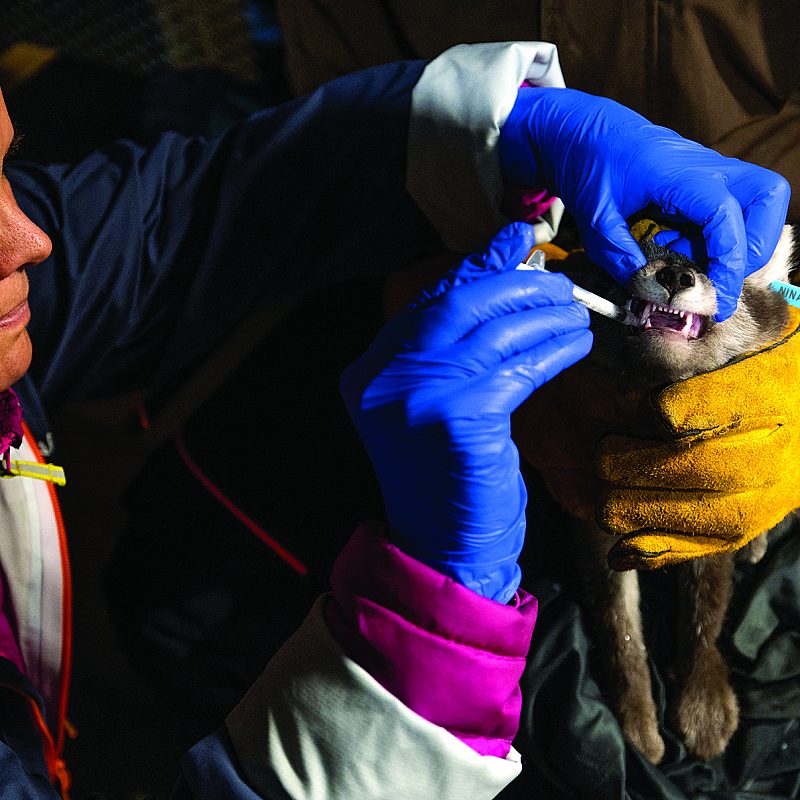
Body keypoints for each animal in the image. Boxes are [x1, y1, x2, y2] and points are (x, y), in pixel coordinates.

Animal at [550, 223, 797, 764]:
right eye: (633, 252)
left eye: (710, 265)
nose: (676, 275)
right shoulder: (596, 526)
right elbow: (620, 628)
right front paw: (637, 721)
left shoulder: (708, 515)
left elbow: (704, 617)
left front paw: (703, 706)